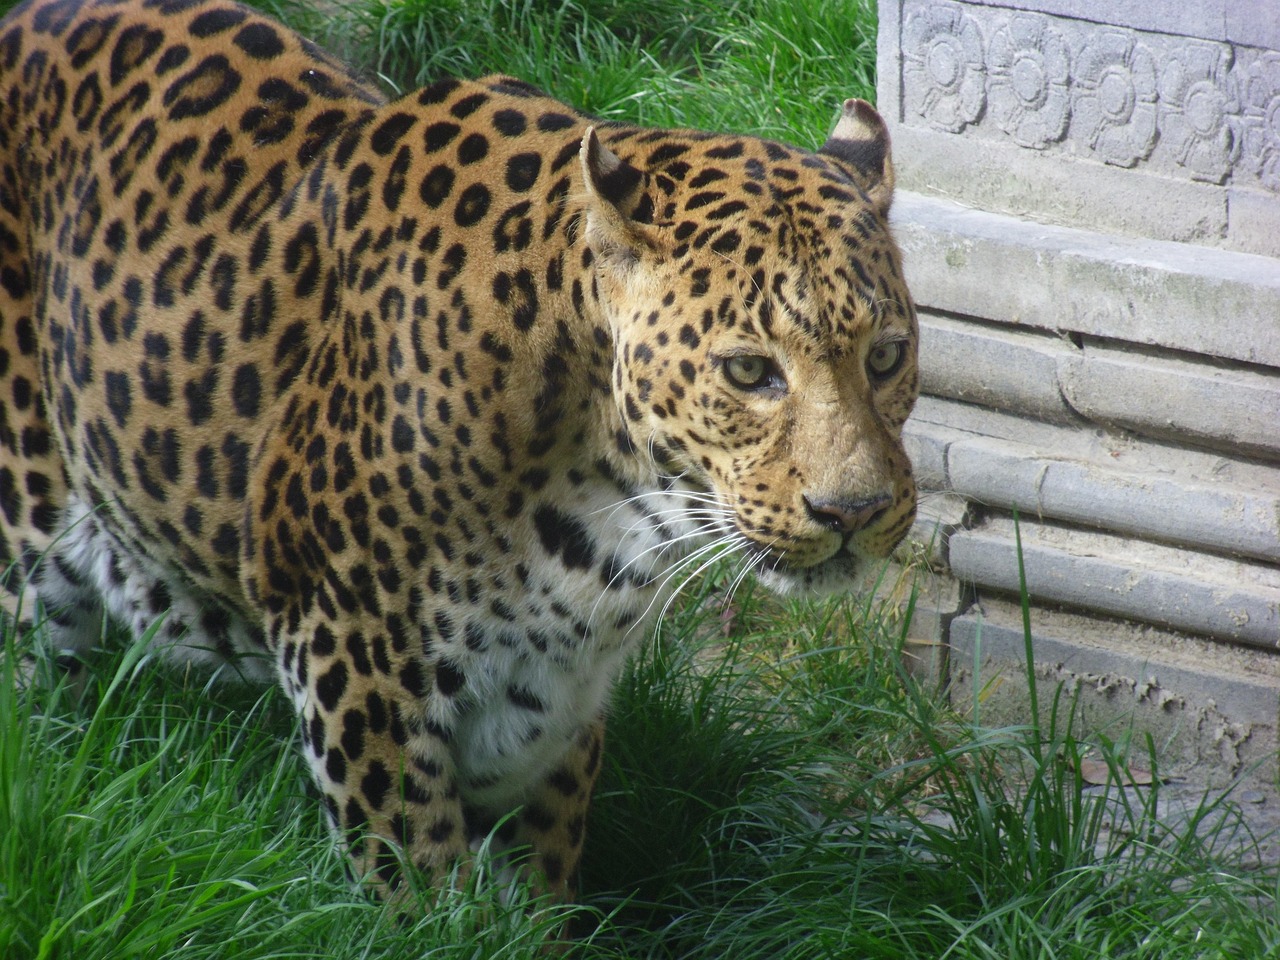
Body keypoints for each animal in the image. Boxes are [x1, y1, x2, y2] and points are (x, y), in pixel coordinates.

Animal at [0, 0, 918, 905]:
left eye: (886, 357)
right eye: (749, 371)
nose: (856, 511)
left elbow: (537, 881)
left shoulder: (545, 703)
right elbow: (413, 887)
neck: (608, 513)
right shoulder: (353, 665)